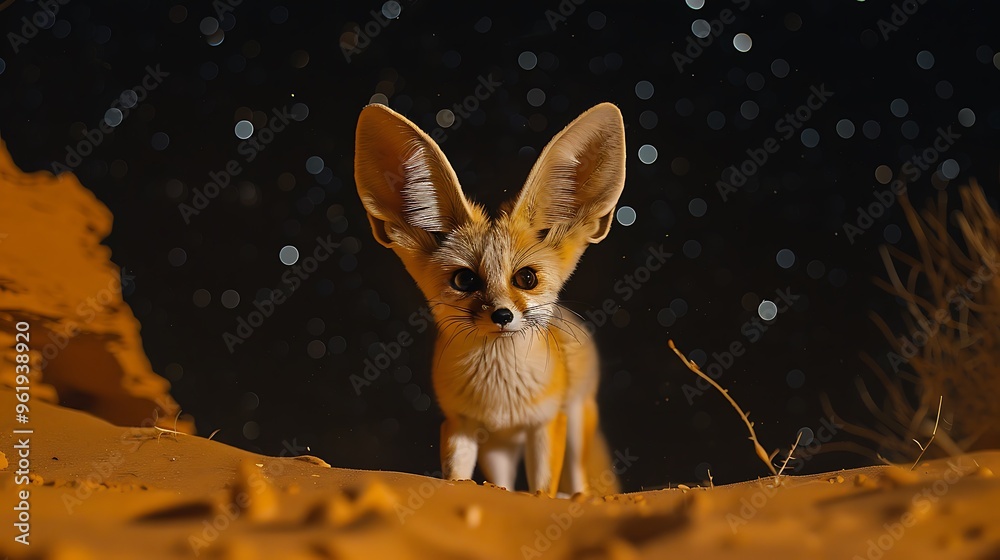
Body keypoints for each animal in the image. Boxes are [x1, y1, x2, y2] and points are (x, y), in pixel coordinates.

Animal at [354, 102, 626, 497]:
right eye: (465, 280)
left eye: (526, 278)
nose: (502, 315)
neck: (500, 396)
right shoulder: (461, 425)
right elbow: (460, 478)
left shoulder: (546, 422)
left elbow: (542, 488)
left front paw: (543, 501)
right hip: (499, 447)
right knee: (503, 483)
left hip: (577, 420)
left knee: (579, 478)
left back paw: (579, 496)